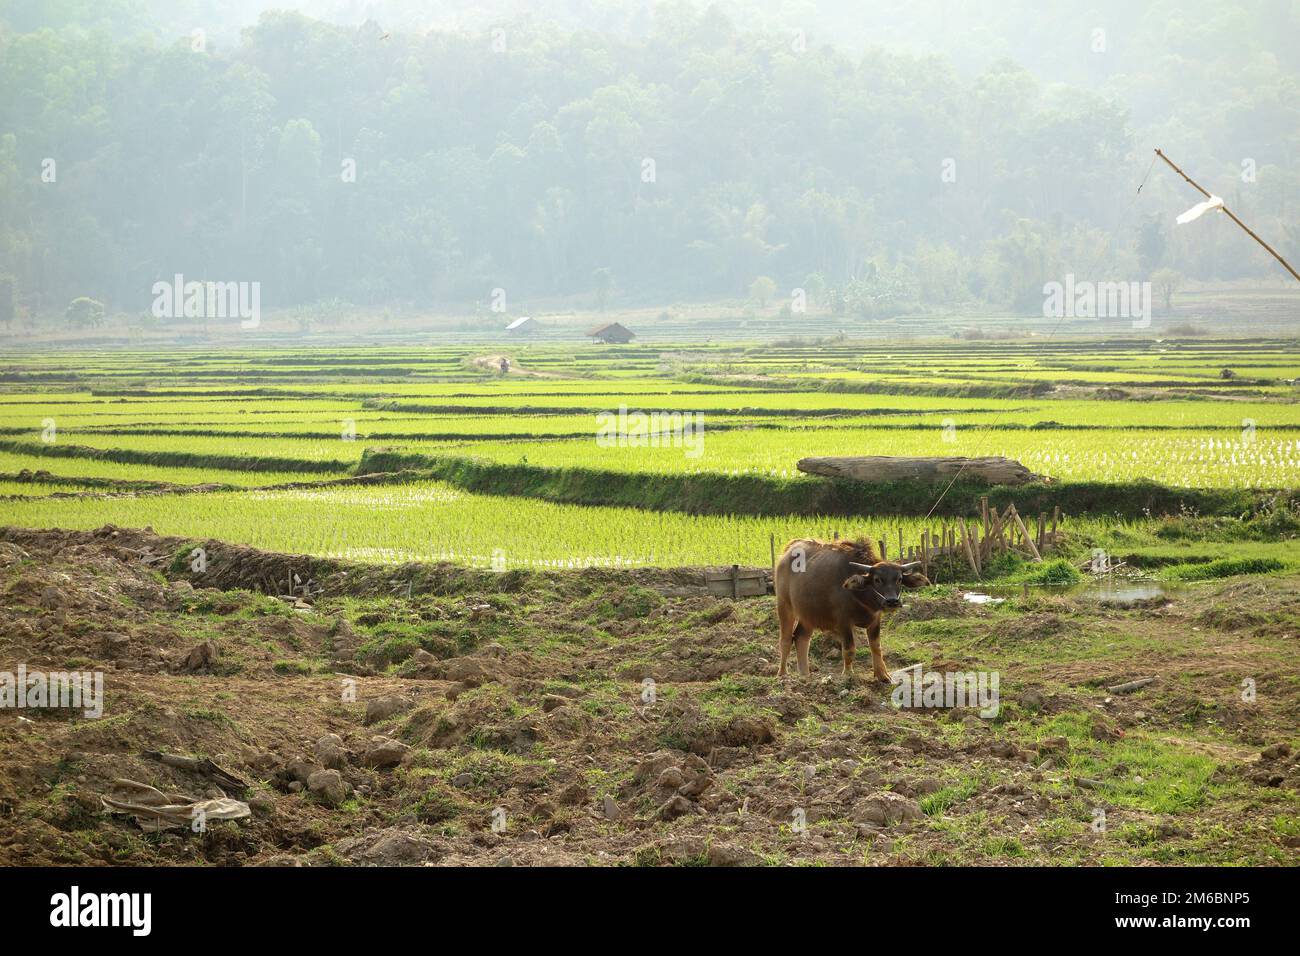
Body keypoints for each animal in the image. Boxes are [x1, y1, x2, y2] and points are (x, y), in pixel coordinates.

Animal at [774, 538, 929, 681]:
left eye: (899, 579)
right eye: (877, 579)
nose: (892, 601)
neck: (860, 596)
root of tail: (789, 550)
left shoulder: (875, 620)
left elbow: (876, 647)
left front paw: (882, 675)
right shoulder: (844, 622)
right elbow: (849, 649)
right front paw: (848, 674)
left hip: (808, 614)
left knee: (801, 638)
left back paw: (805, 675)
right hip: (784, 605)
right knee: (785, 640)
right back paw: (782, 674)